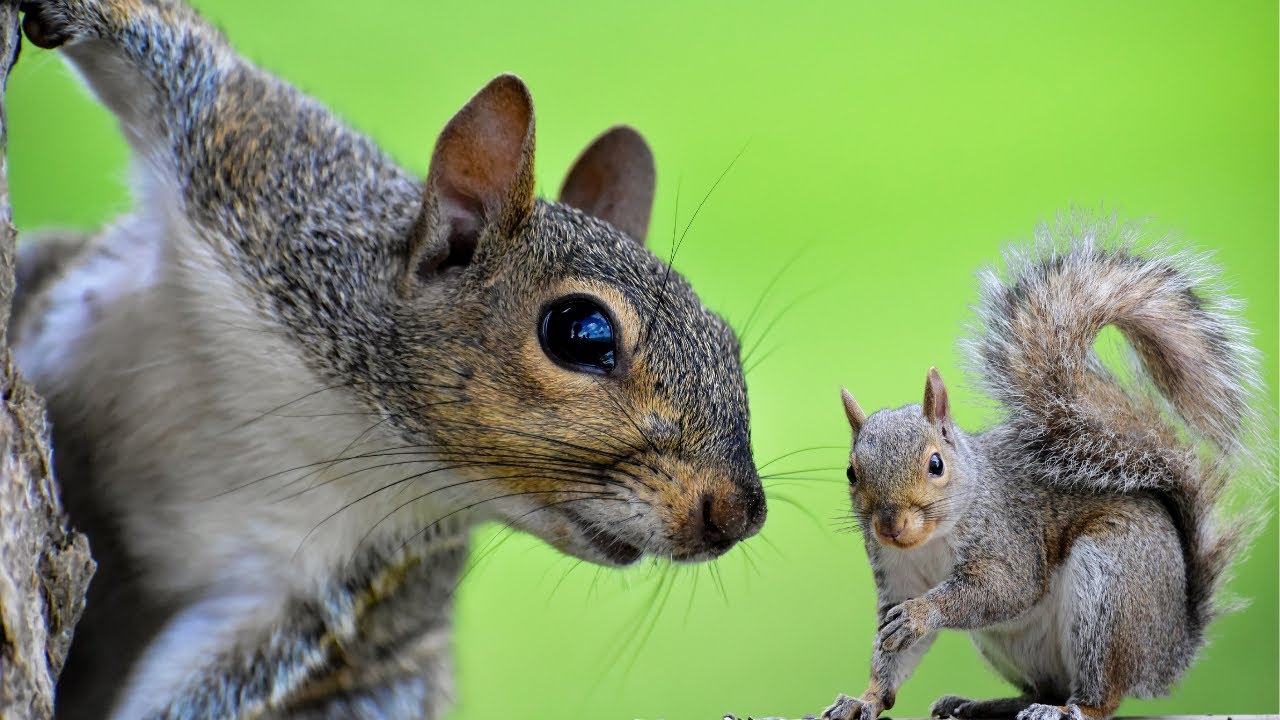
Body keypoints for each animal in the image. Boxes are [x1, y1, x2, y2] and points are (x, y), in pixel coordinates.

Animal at [10, 1, 766, 718]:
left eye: (727, 342)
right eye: (581, 333)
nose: (739, 516)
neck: (357, 423)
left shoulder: (322, 591)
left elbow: (224, 680)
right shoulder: (262, 166)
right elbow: (185, 56)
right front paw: (75, 14)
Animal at [821, 224, 1263, 720]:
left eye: (936, 464)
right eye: (851, 472)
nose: (890, 525)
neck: (932, 539)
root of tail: (1171, 650)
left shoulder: (1008, 537)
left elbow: (1003, 589)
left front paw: (920, 615)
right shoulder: (895, 578)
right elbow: (892, 654)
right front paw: (863, 700)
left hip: (1110, 591)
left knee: (1101, 695)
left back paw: (1070, 709)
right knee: (1042, 688)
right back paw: (982, 704)